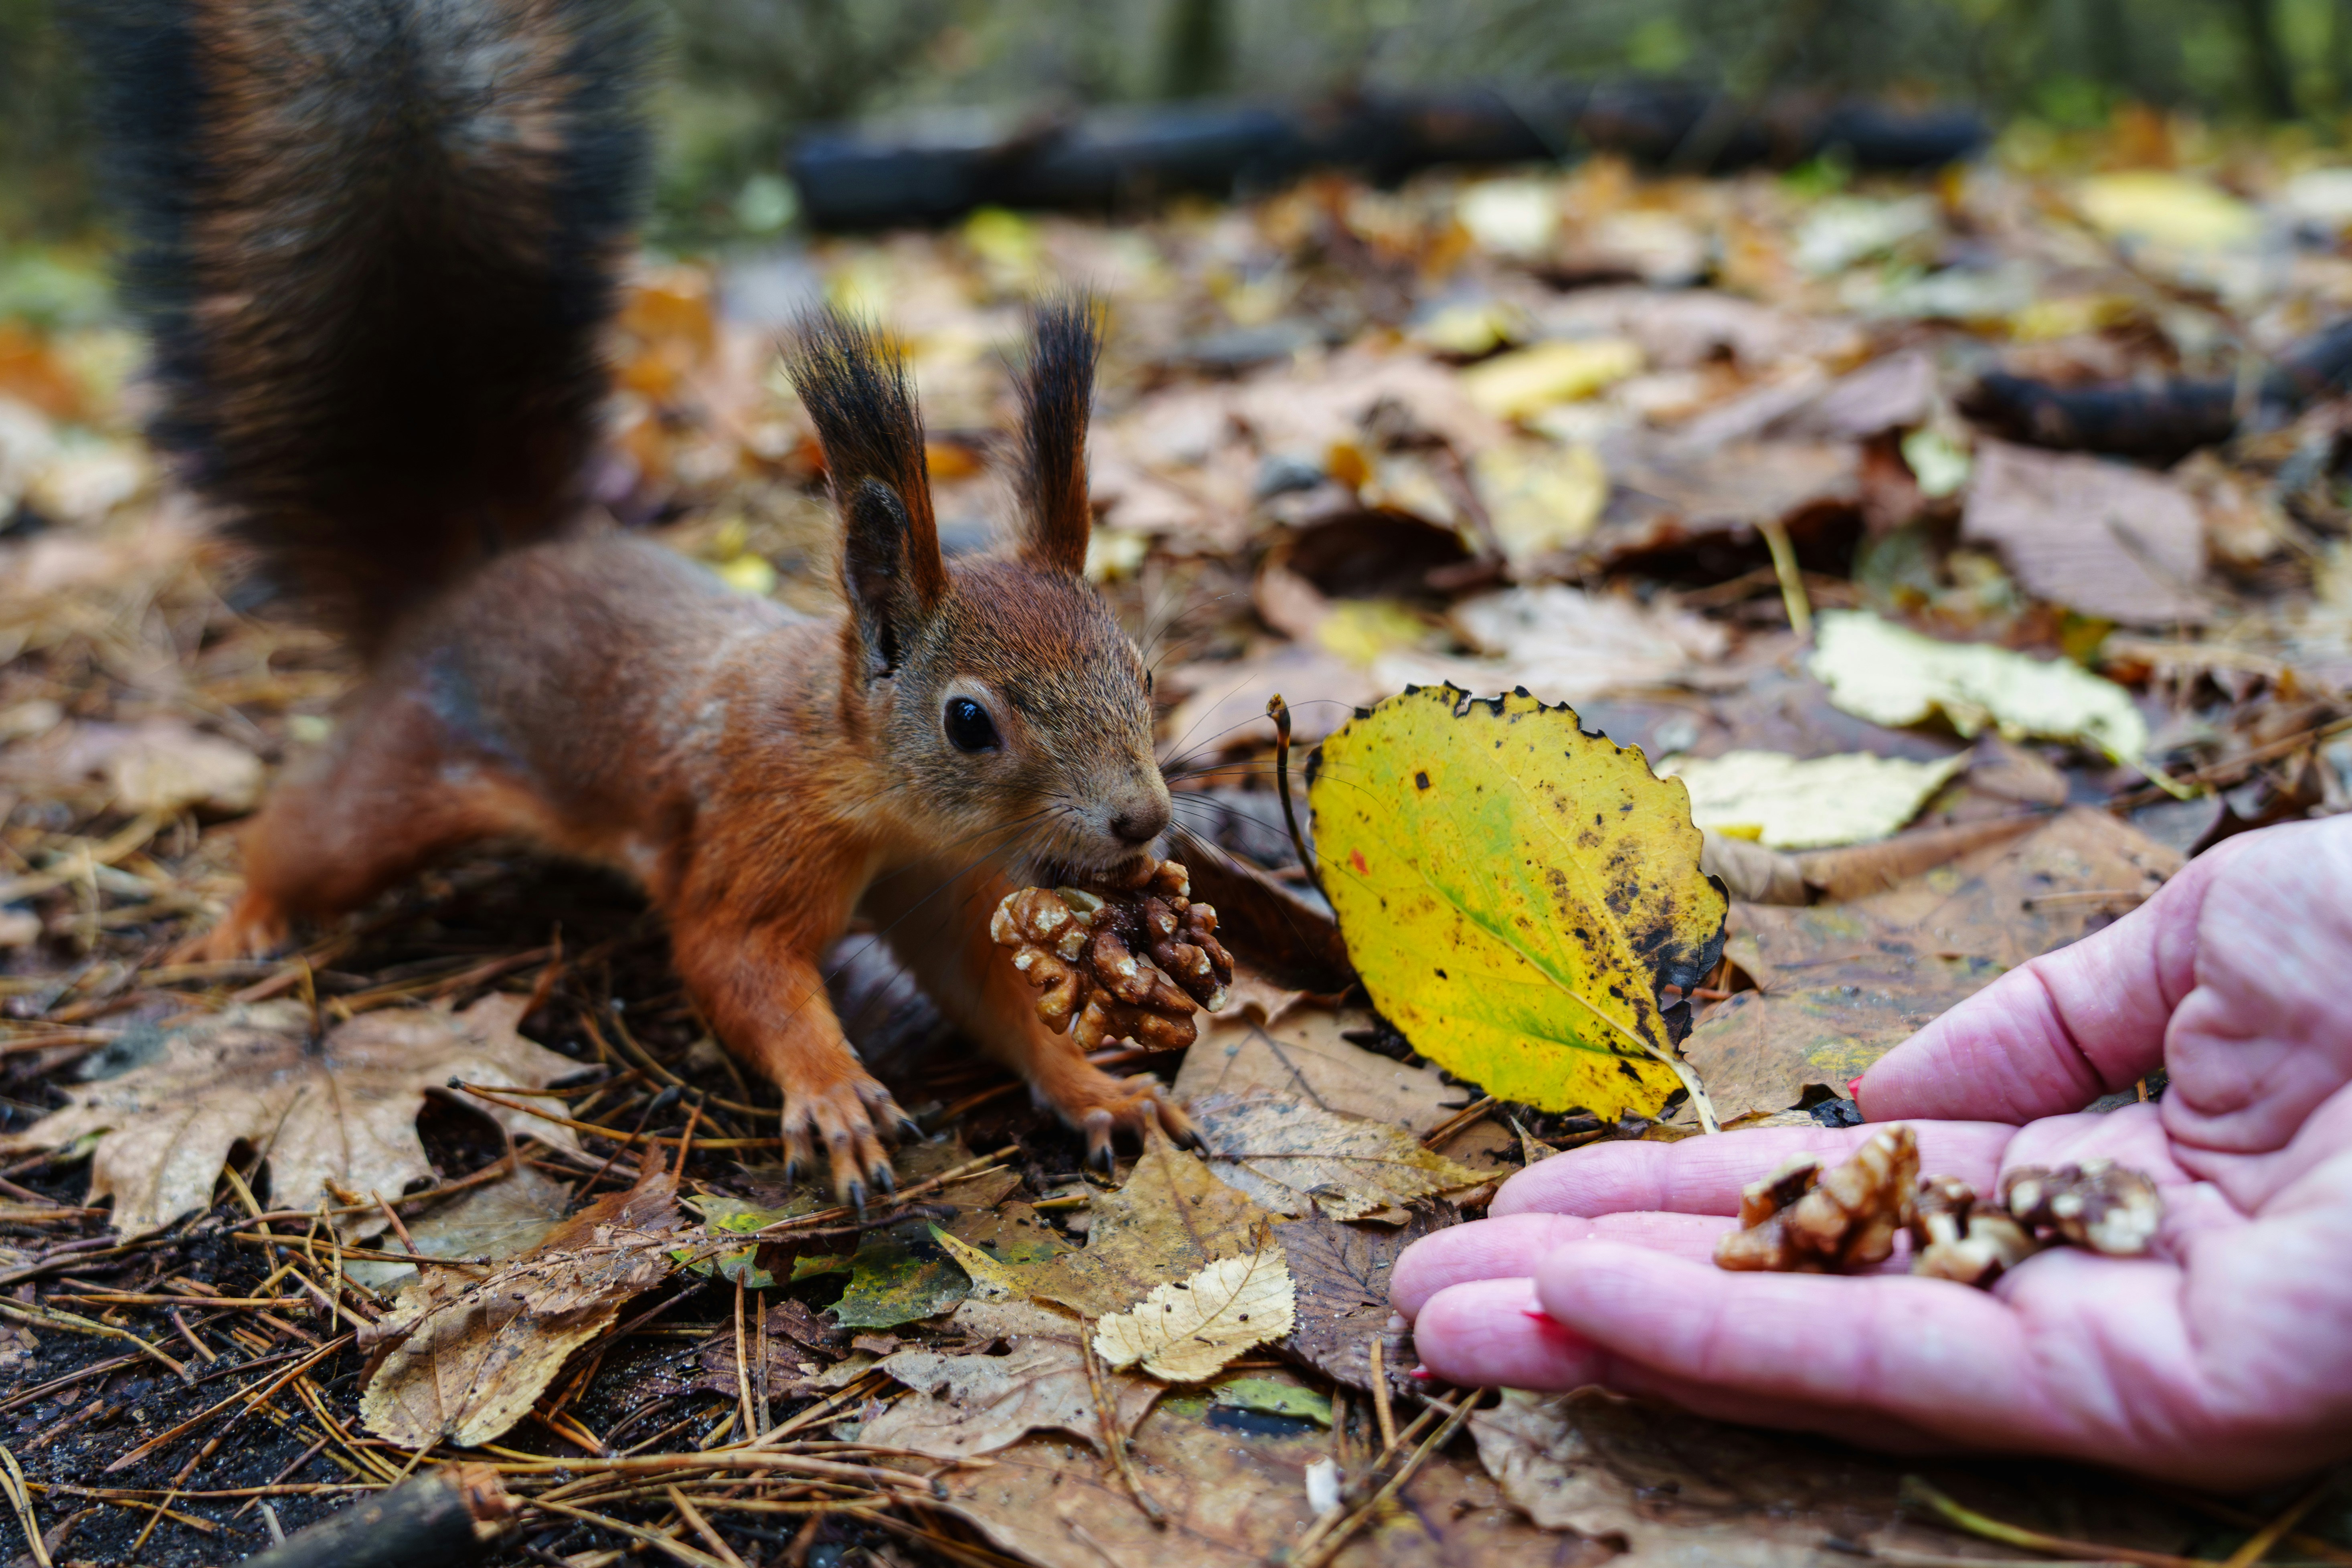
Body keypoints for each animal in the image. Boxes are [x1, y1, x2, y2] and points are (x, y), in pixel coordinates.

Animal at [84, 0, 1193, 1204]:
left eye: (1142, 669)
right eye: (970, 721)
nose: (1143, 819)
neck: (863, 774)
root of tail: (478, 573)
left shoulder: (937, 882)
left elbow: (992, 997)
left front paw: (1097, 1088)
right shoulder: (759, 831)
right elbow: (730, 957)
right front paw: (832, 1090)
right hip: (397, 775)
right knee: (306, 836)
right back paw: (240, 922)